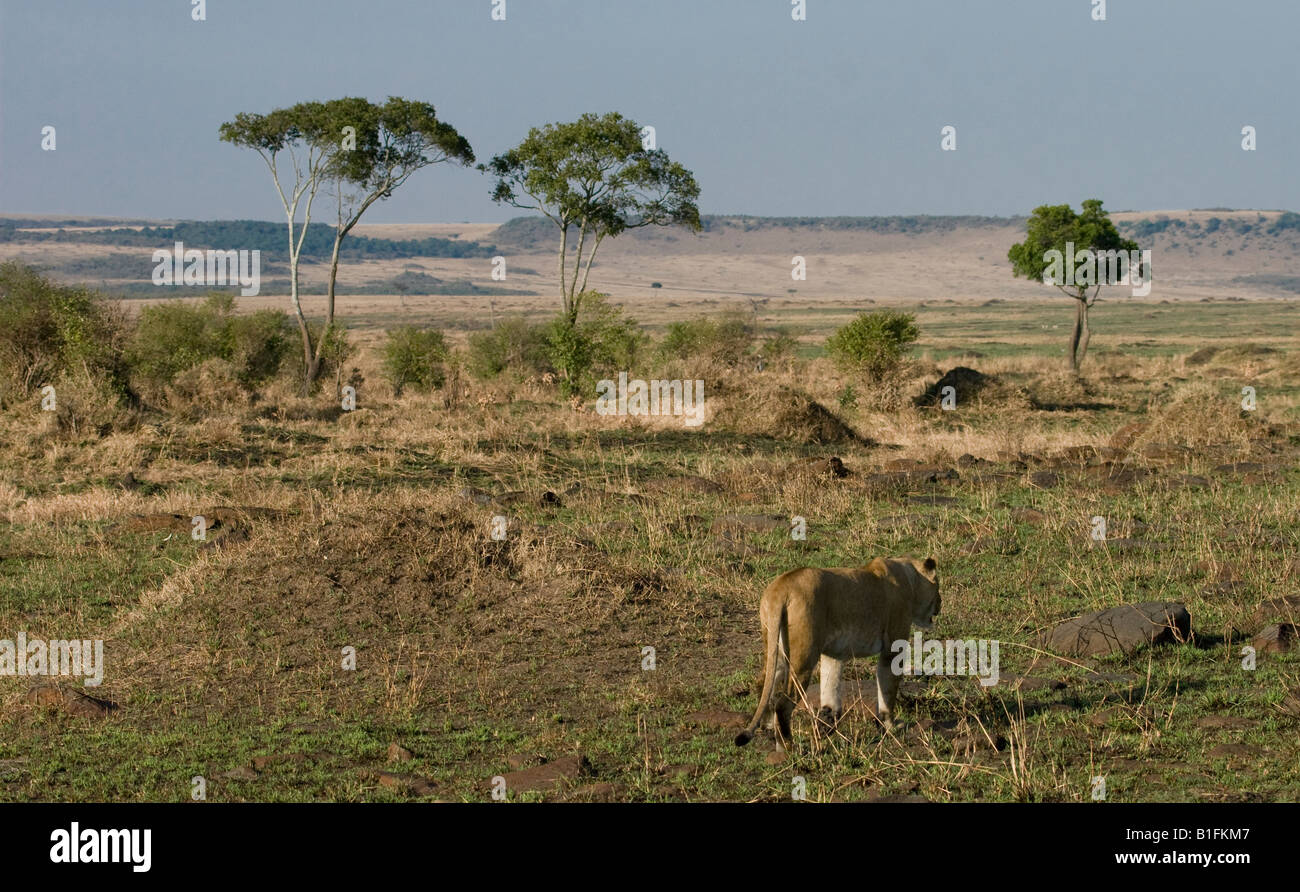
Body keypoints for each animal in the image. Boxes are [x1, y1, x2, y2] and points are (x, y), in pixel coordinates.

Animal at [734, 556, 940, 751]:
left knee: (763, 685)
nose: (940, 603)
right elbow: (888, 690)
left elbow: (830, 687)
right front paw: (890, 726)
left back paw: (769, 729)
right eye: (937, 585)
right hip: (804, 658)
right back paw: (787, 747)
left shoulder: (834, 653)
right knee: (783, 704)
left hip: (776, 649)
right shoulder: (892, 648)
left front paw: (828, 724)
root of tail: (781, 587)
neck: (910, 579)